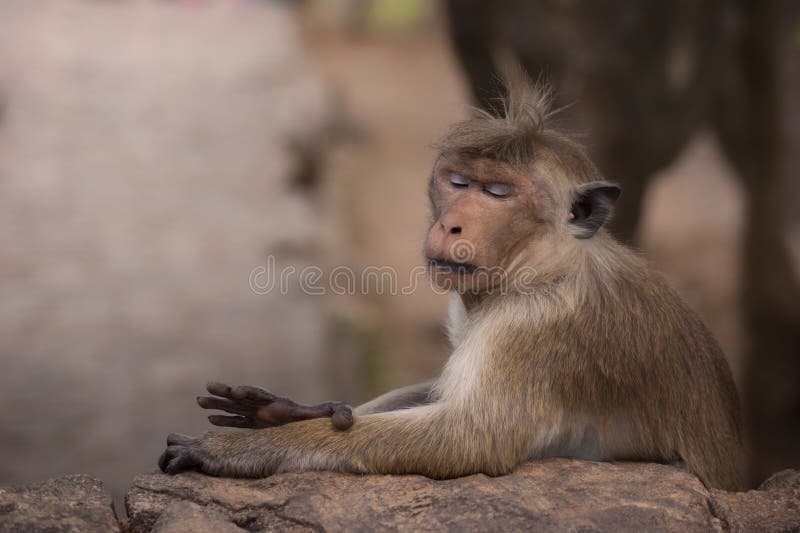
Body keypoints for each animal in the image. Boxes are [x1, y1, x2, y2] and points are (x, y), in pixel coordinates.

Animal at [159, 76, 746, 491]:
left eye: (498, 193)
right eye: (458, 183)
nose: (453, 224)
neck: (541, 268)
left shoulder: (537, 333)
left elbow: (466, 437)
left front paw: (239, 450)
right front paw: (290, 413)